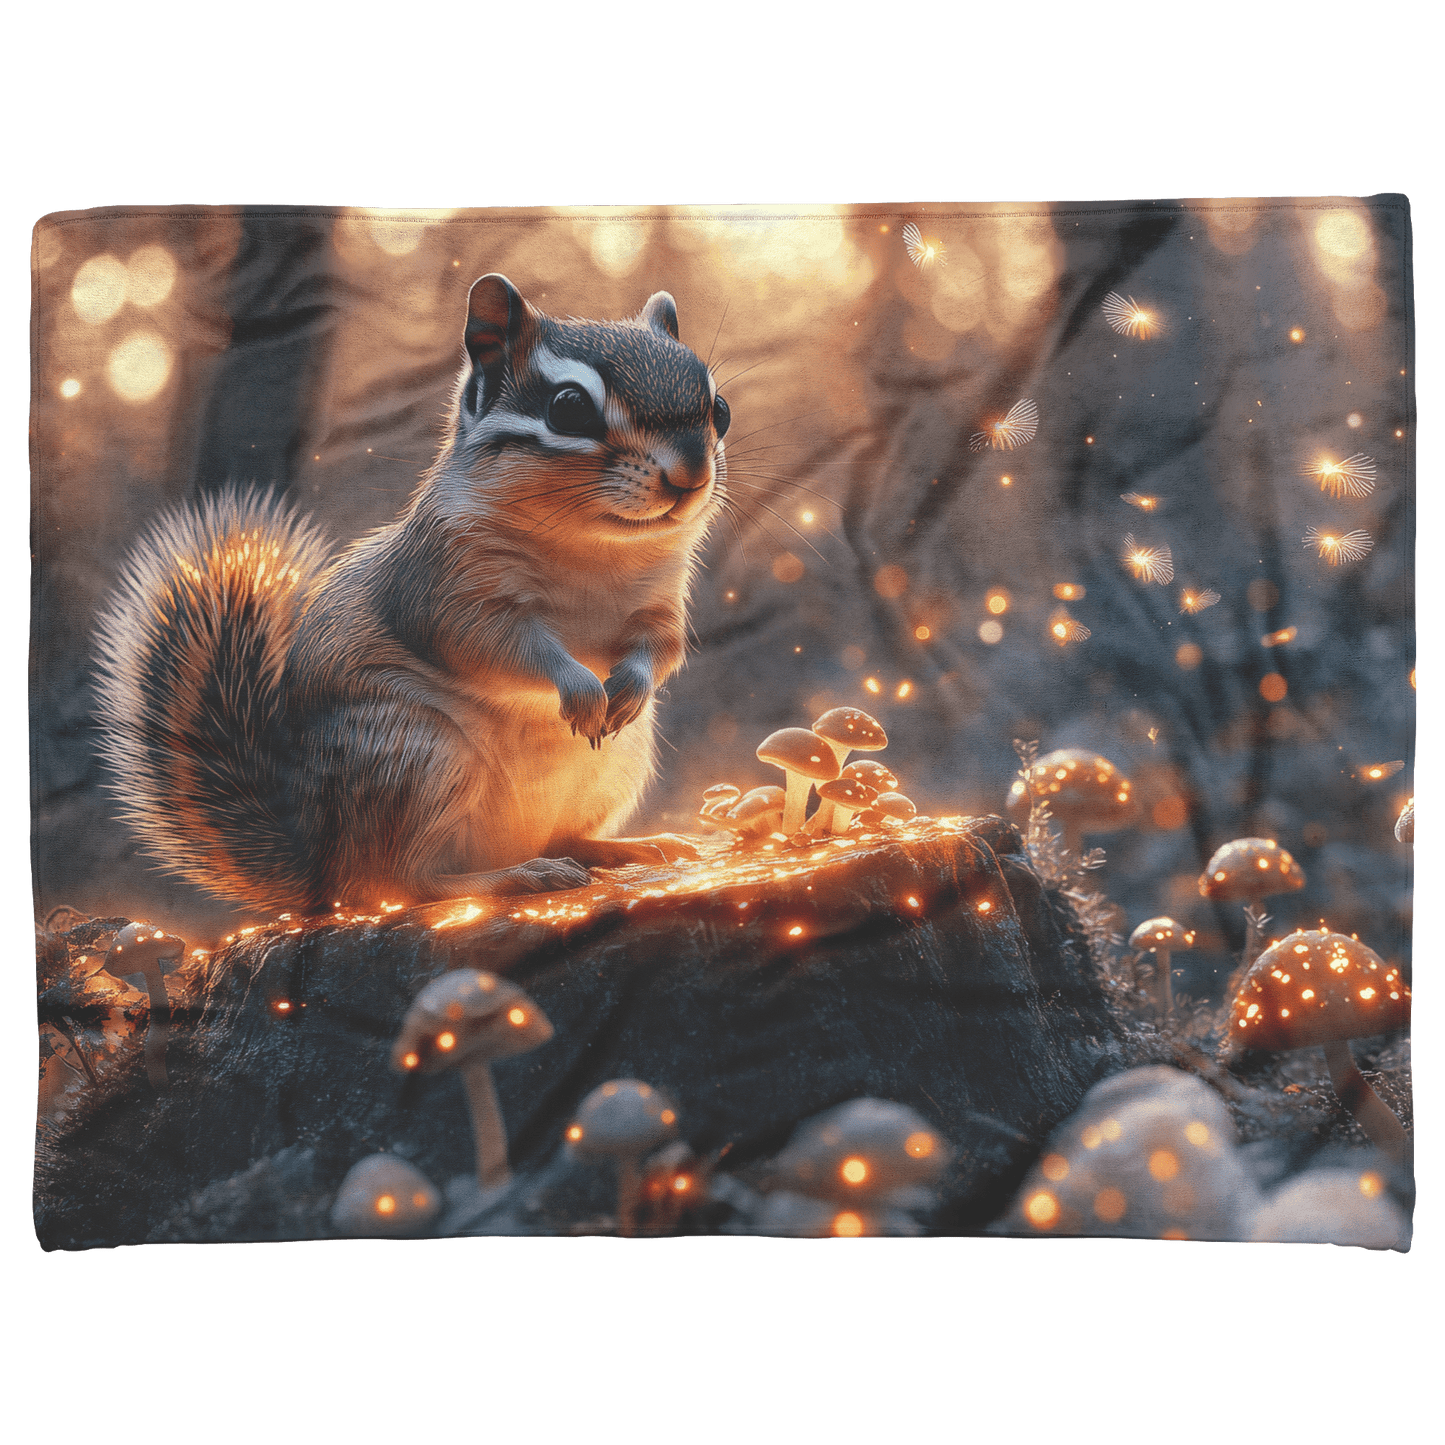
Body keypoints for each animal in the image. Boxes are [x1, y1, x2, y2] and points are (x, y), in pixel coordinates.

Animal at [95, 274, 729, 917]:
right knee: (408, 881)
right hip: (419, 755)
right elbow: (497, 646)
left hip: (614, 762)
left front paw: (629, 687)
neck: (596, 547)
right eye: (569, 408)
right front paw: (579, 687)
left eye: (719, 410)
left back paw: (627, 848)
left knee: (560, 839)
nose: (691, 475)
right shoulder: (447, 590)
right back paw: (515, 877)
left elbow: (662, 649)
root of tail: (320, 869)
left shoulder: (661, 605)